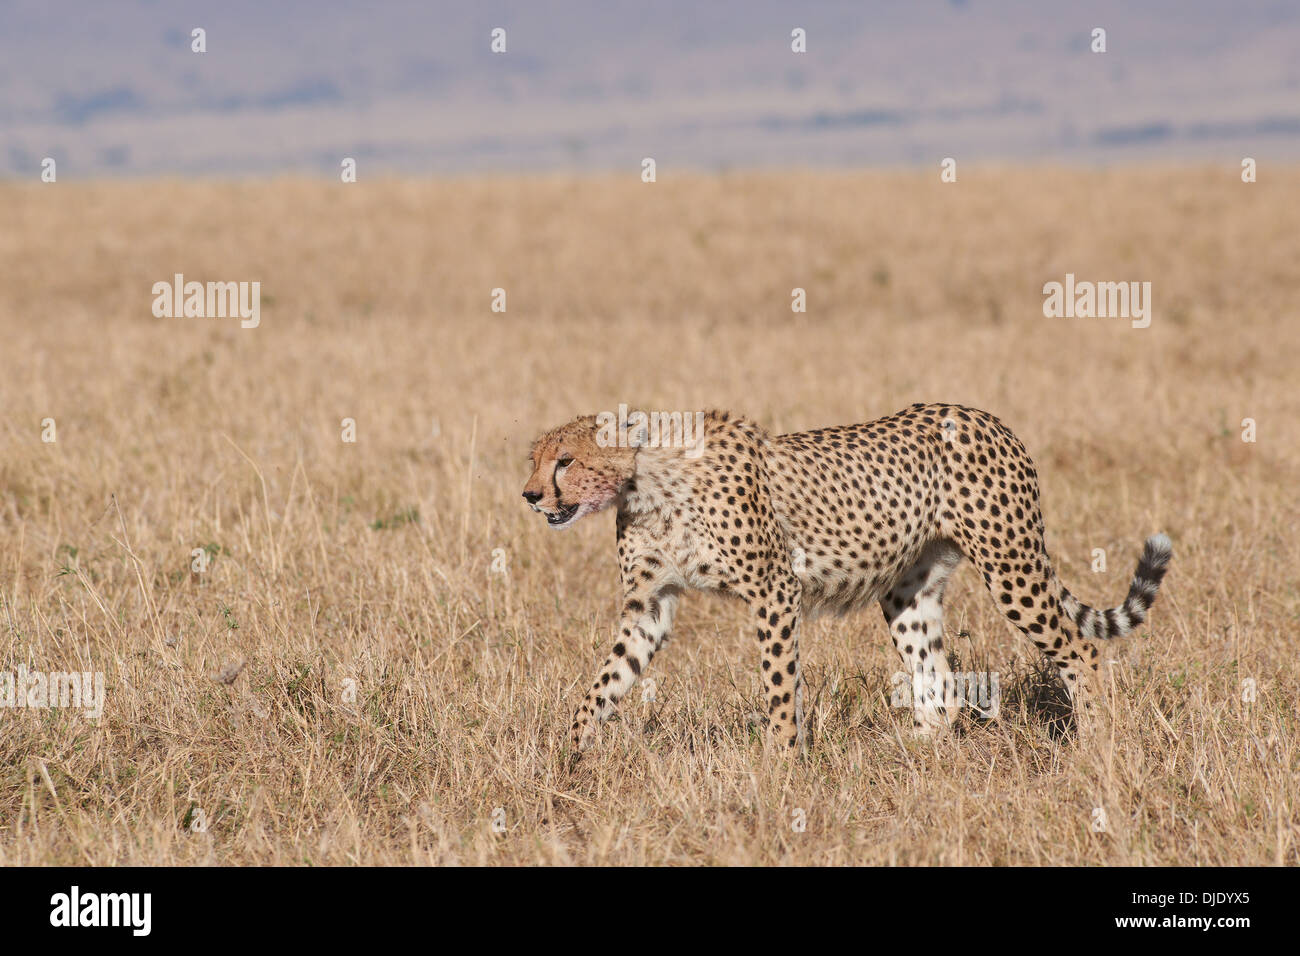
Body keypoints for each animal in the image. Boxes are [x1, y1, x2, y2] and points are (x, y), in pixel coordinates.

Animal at [521, 403, 1172, 754]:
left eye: (566, 461)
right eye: (536, 460)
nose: (529, 496)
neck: (647, 481)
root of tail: (984, 416)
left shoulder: (774, 591)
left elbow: (779, 686)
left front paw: (782, 762)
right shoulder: (648, 608)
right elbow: (606, 682)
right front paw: (570, 756)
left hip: (1011, 567)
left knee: (1080, 649)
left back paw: (1096, 743)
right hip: (908, 590)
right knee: (940, 682)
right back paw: (916, 748)